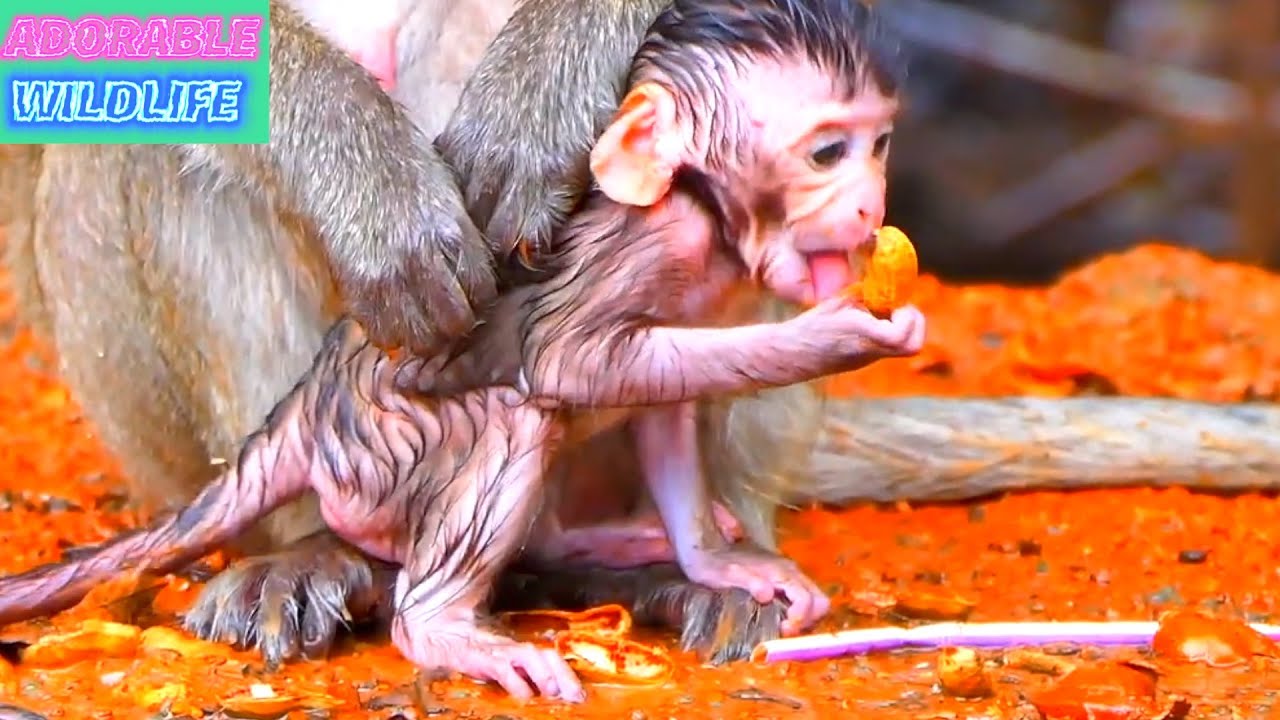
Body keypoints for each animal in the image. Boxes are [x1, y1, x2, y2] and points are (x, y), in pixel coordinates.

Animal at [0, 0, 919, 700]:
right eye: (827, 152)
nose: (866, 205)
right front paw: (374, 187)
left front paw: (538, 94)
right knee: (151, 146)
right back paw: (317, 554)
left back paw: (685, 566)